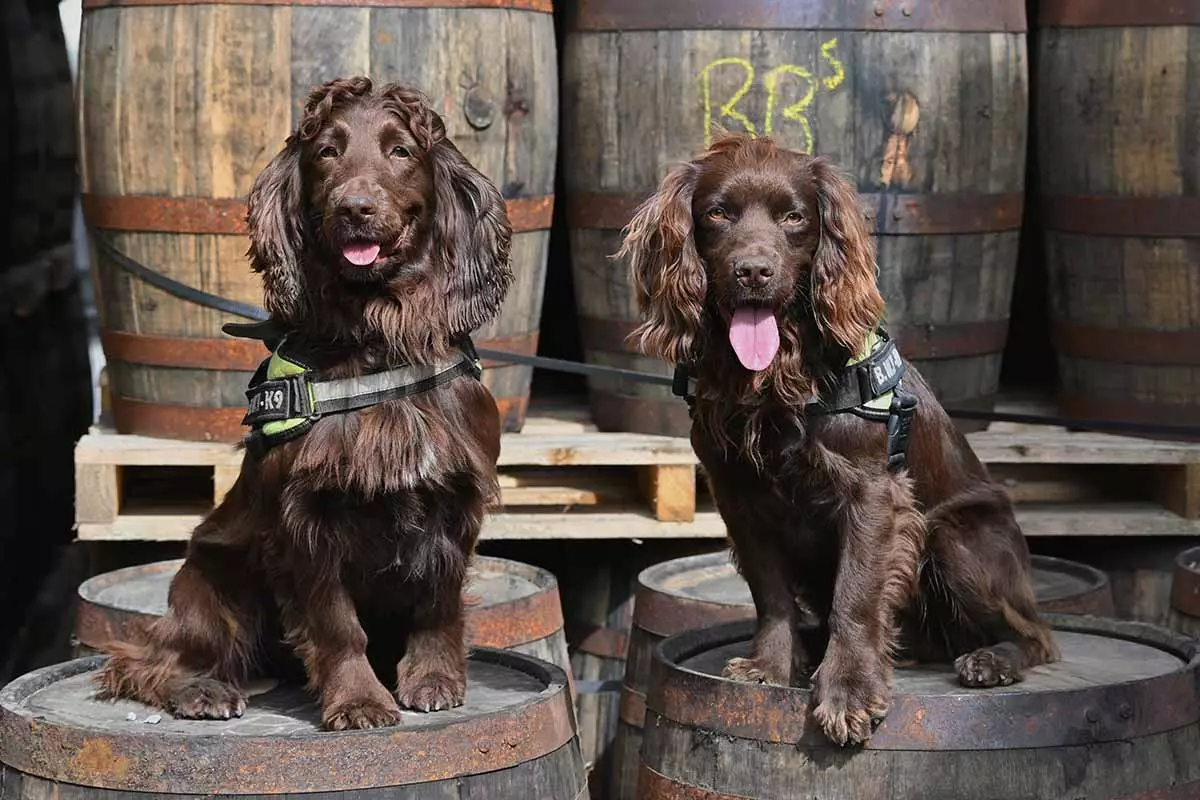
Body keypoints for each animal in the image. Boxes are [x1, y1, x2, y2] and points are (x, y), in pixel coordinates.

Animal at [90, 74, 511, 734]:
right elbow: (336, 625)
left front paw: (434, 679)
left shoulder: (456, 500)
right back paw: (202, 691)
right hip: (210, 582)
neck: (375, 343)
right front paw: (359, 701)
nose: (355, 208)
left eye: (400, 151)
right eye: (327, 153)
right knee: (152, 662)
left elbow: (439, 601)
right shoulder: (306, 518)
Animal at [619, 134, 1060, 748]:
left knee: (1036, 635)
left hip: (955, 537)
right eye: (718, 213)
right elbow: (770, 592)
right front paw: (771, 667)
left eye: (794, 217)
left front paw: (848, 692)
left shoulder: (873, 493)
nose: (754, 271)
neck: (778, 378)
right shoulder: (739, 497)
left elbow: (857, 594)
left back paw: (989, 660)